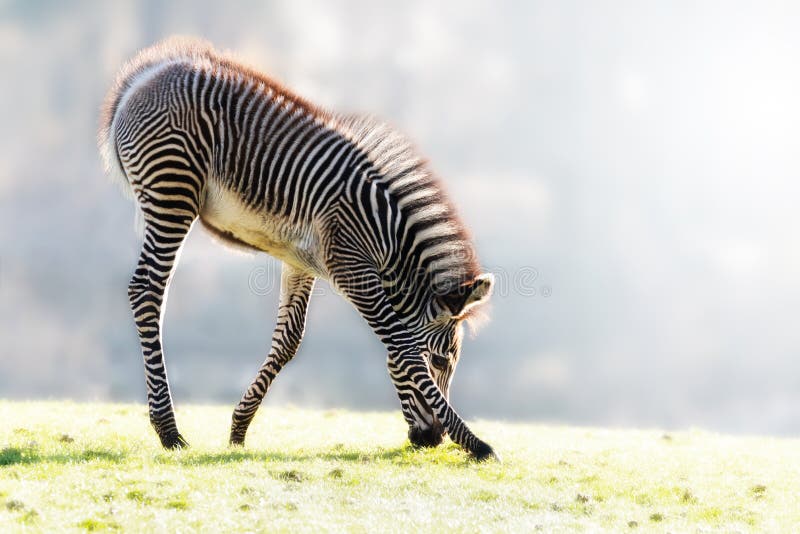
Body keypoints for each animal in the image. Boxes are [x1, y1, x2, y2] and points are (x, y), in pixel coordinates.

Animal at [99, 37, 497, 460]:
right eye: (440, 360)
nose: (432, 440)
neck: (383, 233)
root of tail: (147, 74)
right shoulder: (351, 269)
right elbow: (401, 344)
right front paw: (476, 443)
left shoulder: (301, 261)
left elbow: (289, 340)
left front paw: (239, 428)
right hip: (173, 192)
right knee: (146, 290)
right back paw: (168, 430)